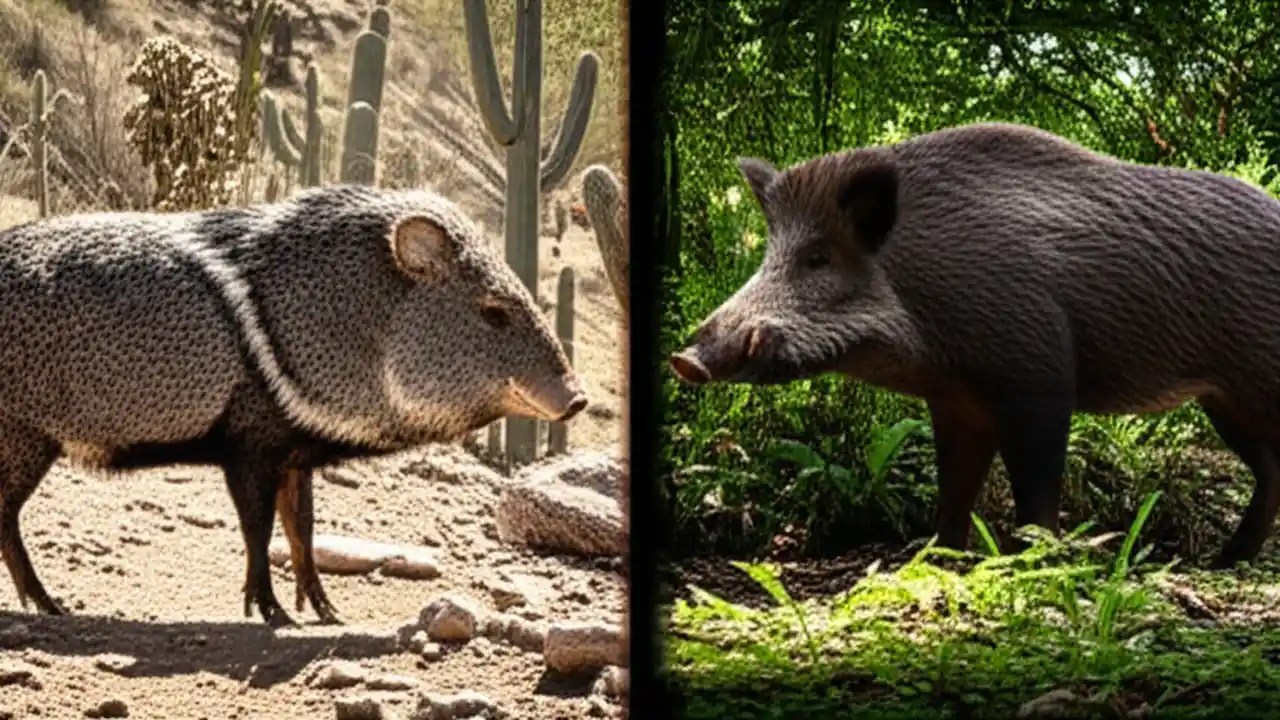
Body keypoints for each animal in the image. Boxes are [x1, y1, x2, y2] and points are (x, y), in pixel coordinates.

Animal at [0, 184, 587, 625]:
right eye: (494, 313)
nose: (577, 398)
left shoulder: (295, 454)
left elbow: (300, 531)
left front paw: (327, 613)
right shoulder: (249, 447)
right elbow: (258, 532)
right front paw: (273, 613)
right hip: (25, 436)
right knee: (7, 516)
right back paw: (49, 606)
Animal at [670, 122, 1280, 567]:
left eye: (818, 258)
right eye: (767, 256)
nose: (684, 359)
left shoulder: (1038, 377)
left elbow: (1035, 486)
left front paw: (1027, 562)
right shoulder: (956, 403)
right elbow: (955, 485)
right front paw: (935, 560)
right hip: (1226, 402)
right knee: (1271, 471)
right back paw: (1225, 562)